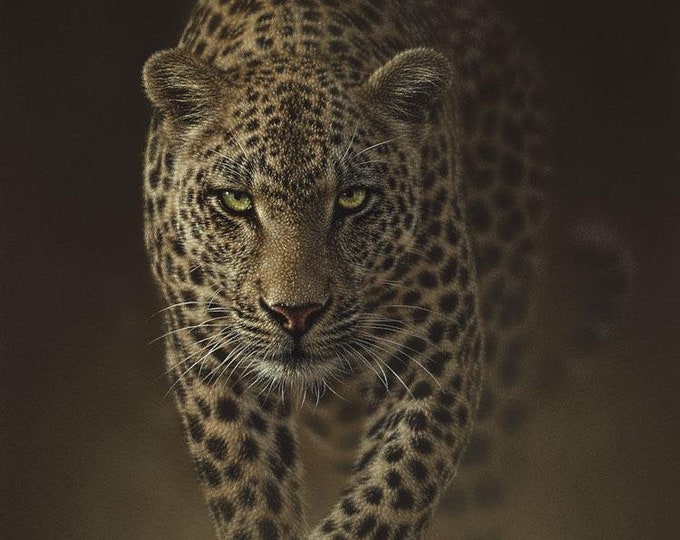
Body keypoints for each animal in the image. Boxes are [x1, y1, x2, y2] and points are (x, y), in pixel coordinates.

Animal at [141, 0, 549, 538]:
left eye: (352, 199)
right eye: (236, 200)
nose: (295, 314)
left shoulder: (439, 348)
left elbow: (392, 492)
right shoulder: (209, 355)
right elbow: (248, 492)